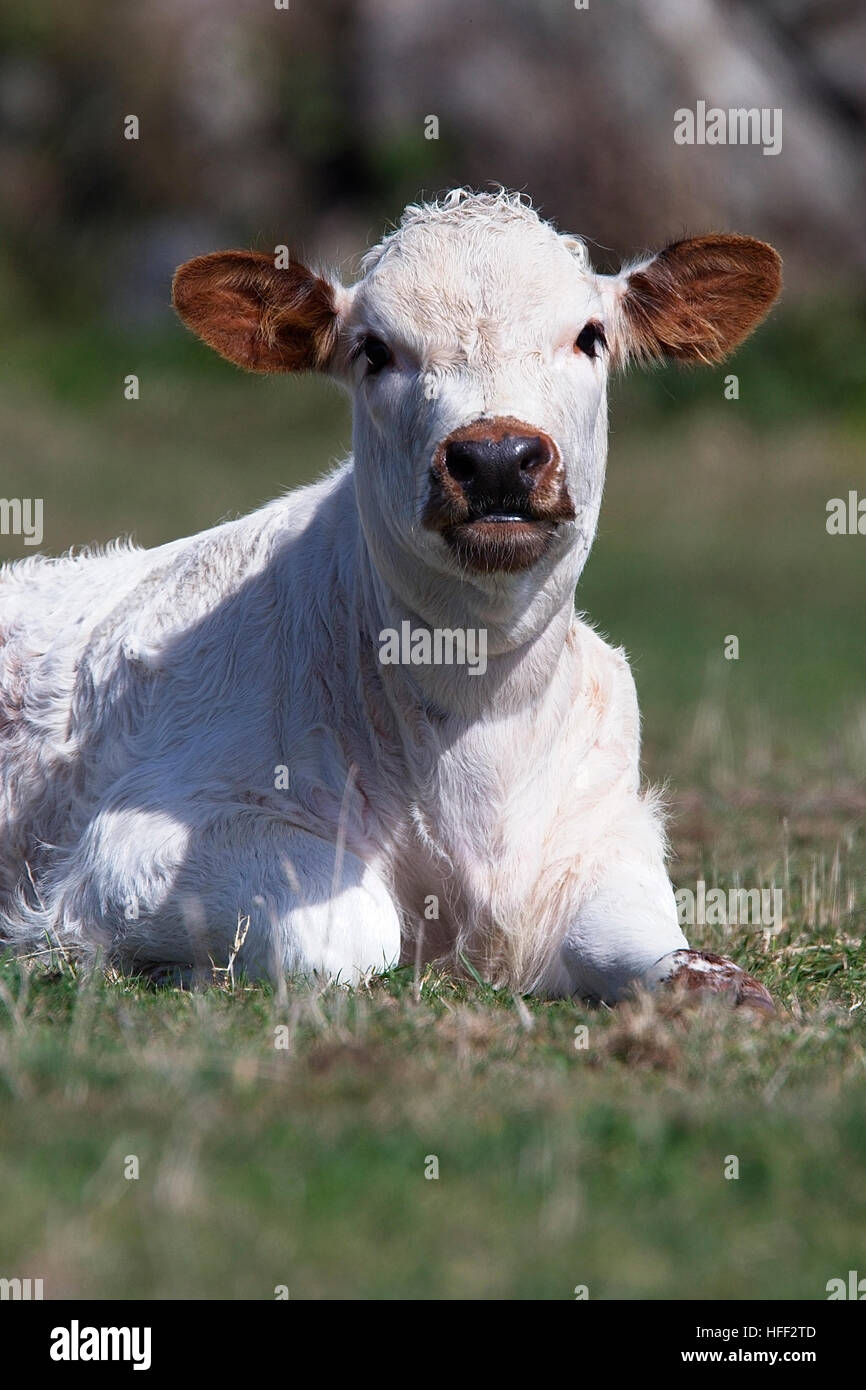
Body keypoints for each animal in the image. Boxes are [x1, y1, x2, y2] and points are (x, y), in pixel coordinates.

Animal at [0, 189, 781, 1009]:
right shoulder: (134, 841)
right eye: (374, 350)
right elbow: (349, 927)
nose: (496, 456)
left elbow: (654, 944)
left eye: (590, 336)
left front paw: (723, 985)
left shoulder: (608, 830)